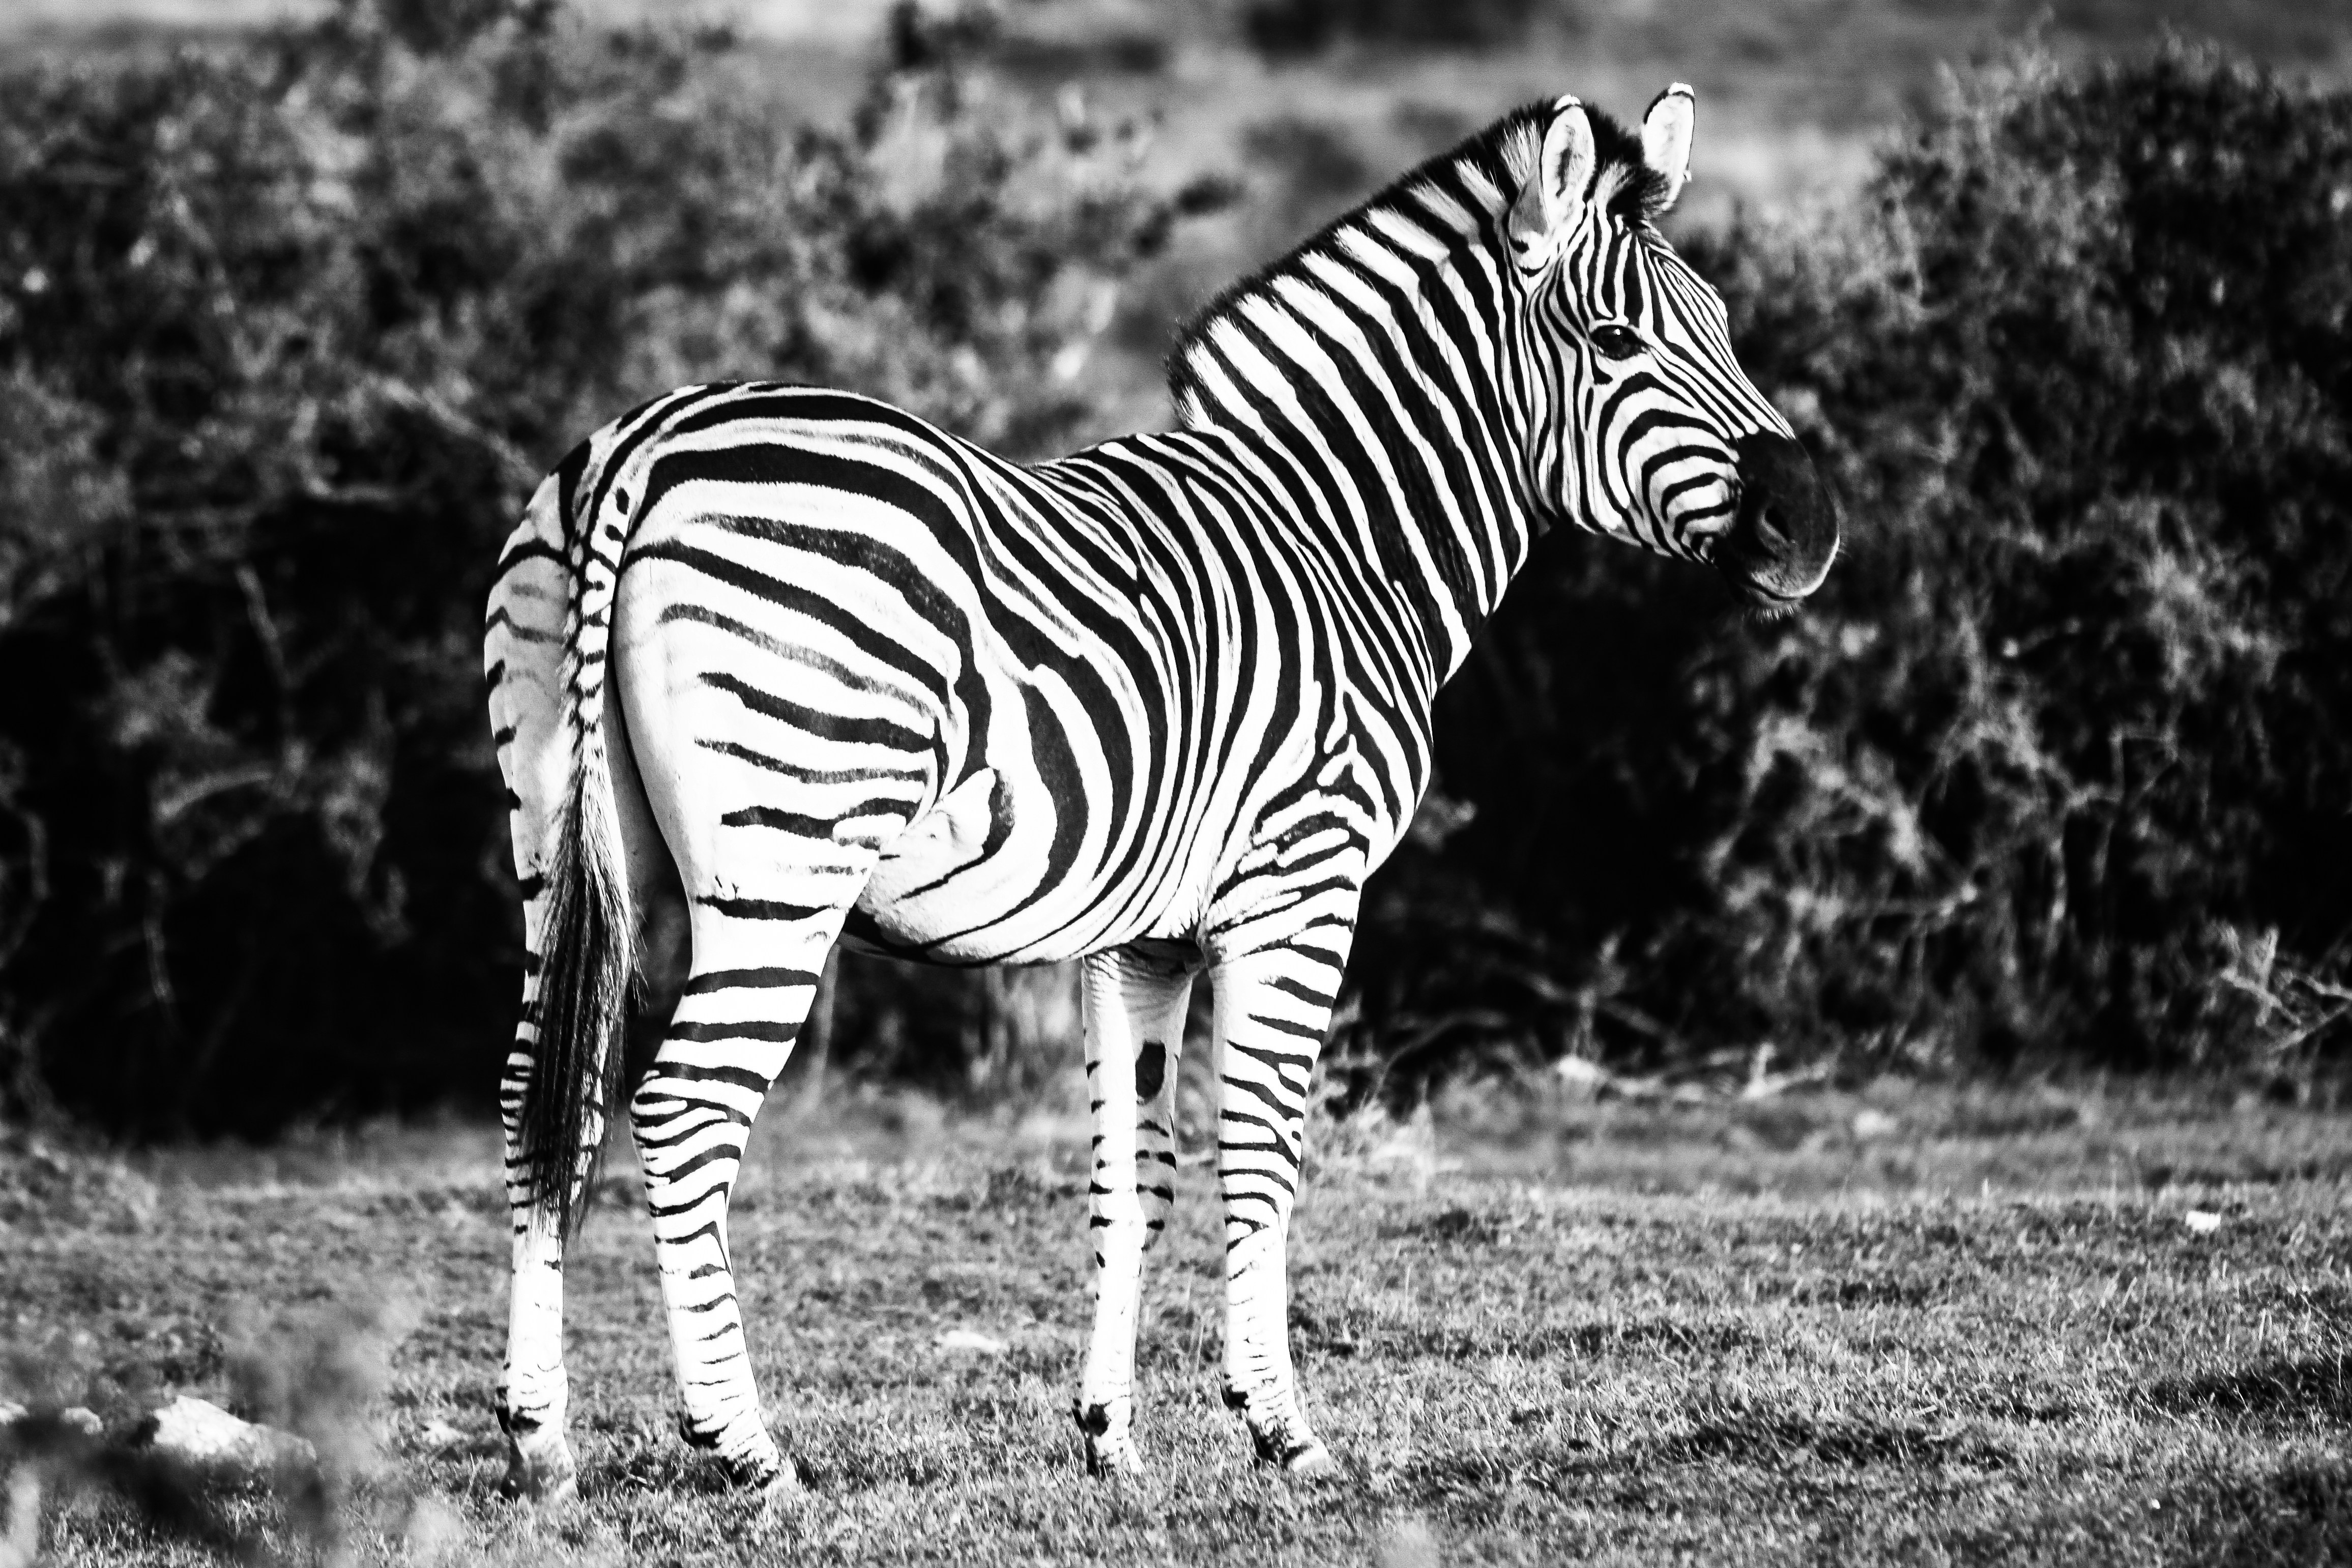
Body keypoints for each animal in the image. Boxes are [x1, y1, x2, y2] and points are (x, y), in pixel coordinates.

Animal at [483, 84, 1837, 1498]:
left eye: (1724, 322)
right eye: (1616, 338)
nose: (1812, 525)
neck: (1348, 539)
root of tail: (643, 444)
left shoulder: (1142, 936)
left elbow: (1134, 1172)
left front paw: (1111, 1434)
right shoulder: (1301, 887)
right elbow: (1262, 1155)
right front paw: (1283, 1429)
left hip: (564, 843)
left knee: (536, 1100)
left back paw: (540, 1439)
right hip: (785, 859)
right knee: (682, 1115)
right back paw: (746, 1448)